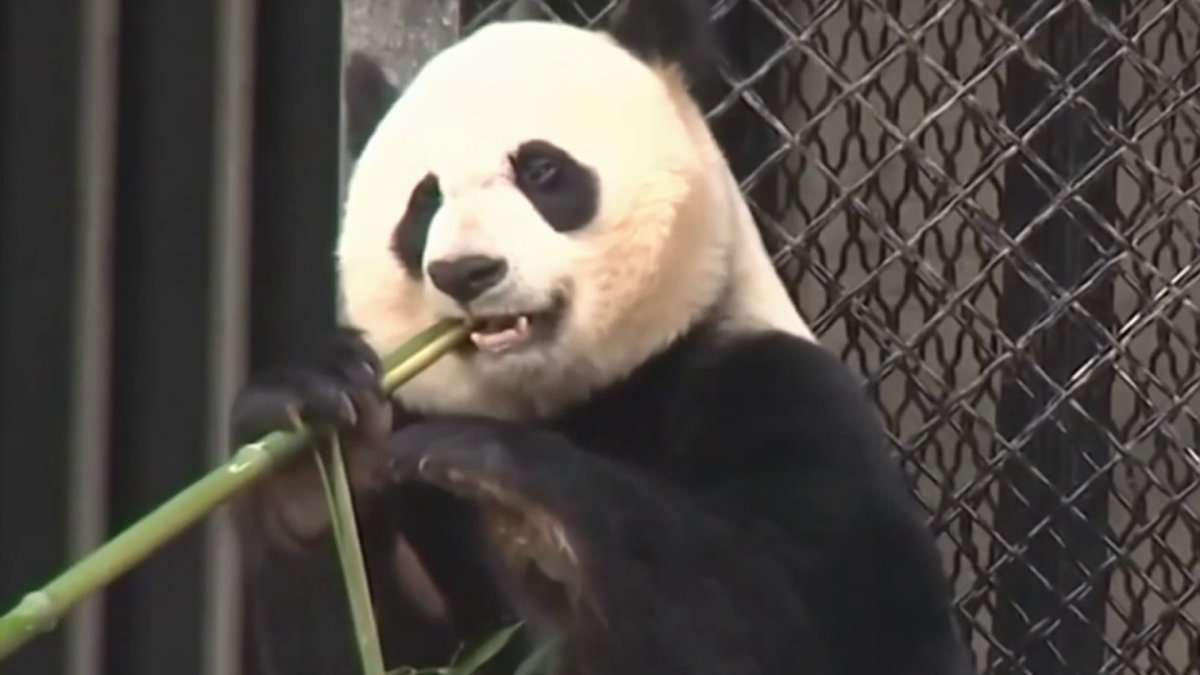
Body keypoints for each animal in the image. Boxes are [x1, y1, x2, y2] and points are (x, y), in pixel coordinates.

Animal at [229, 1, 975, 674]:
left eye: (541, 171)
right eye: (425, 202)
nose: (465, 272)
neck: (576, 400)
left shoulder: (775, 384)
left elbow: (851, 630)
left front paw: (509, 482)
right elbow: (388, 649)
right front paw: (303, 456)